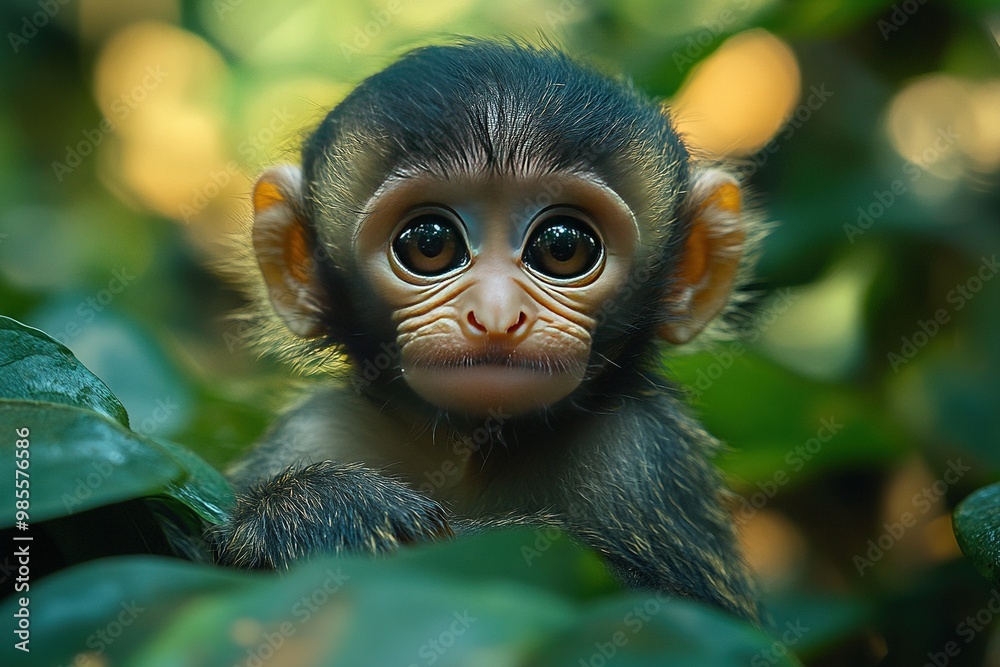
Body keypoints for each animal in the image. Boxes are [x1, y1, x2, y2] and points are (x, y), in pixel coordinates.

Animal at [212, 39, 762, 622]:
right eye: (429, 243)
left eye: (563, 247)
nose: (496, 315)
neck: (472, 450)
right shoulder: (315, 429)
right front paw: (319, 507)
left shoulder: (643, 453)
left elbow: (676, 610)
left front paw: (340, 517)